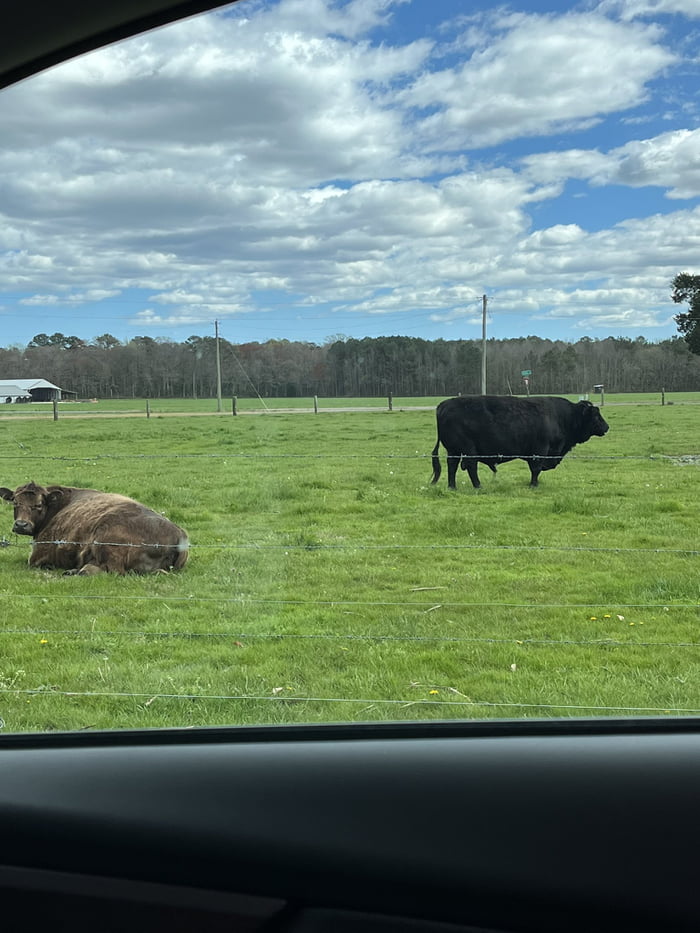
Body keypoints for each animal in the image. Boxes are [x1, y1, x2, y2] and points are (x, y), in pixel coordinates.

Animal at [0, 481, 189, 575]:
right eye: (15, 502)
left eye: (39, 505)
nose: (21, 525)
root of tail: (179, 534)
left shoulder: (37, 556)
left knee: (111, 571)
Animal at [431, 395, 609, 490]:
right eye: (595, 416)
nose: (607, 427)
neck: (562, 416)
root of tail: (443, 405)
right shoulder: (540, 450)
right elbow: (536, 469)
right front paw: (533, 485)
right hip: (468, 450)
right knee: (471, 467)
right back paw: (478, 486)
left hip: (454, 451)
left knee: (452, 466)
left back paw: (452, 487)